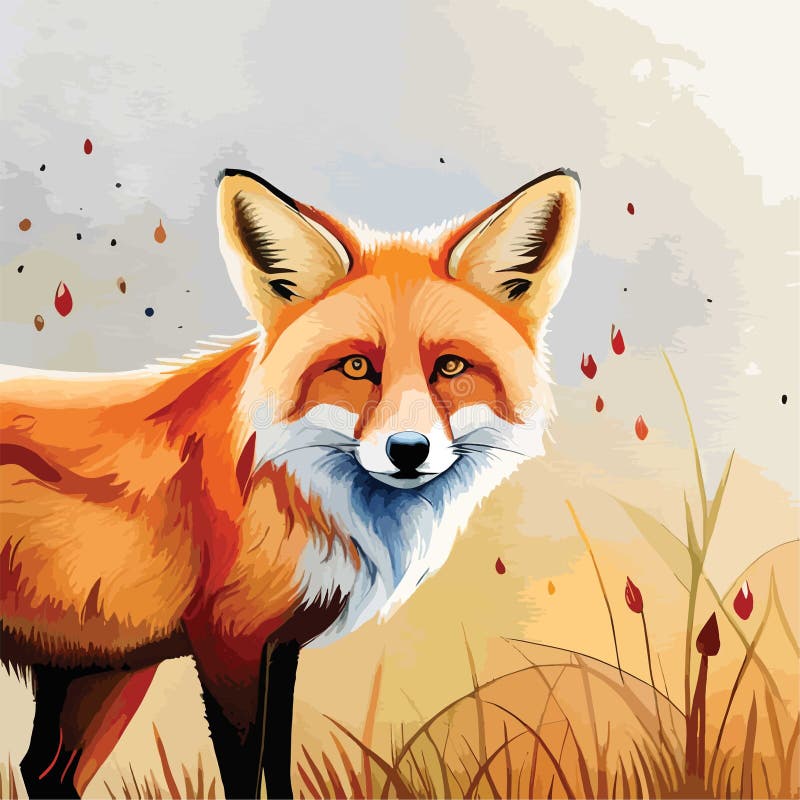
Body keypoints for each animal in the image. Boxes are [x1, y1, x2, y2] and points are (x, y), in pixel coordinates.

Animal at [1, 167, 580, 798]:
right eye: (356, 366)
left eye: (450, 367)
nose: (408, 451)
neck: (295, 489)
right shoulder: (228, 643)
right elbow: (243, 773)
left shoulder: (280, 646)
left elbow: (276, 766)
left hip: (102, 671)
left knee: (43, 769)